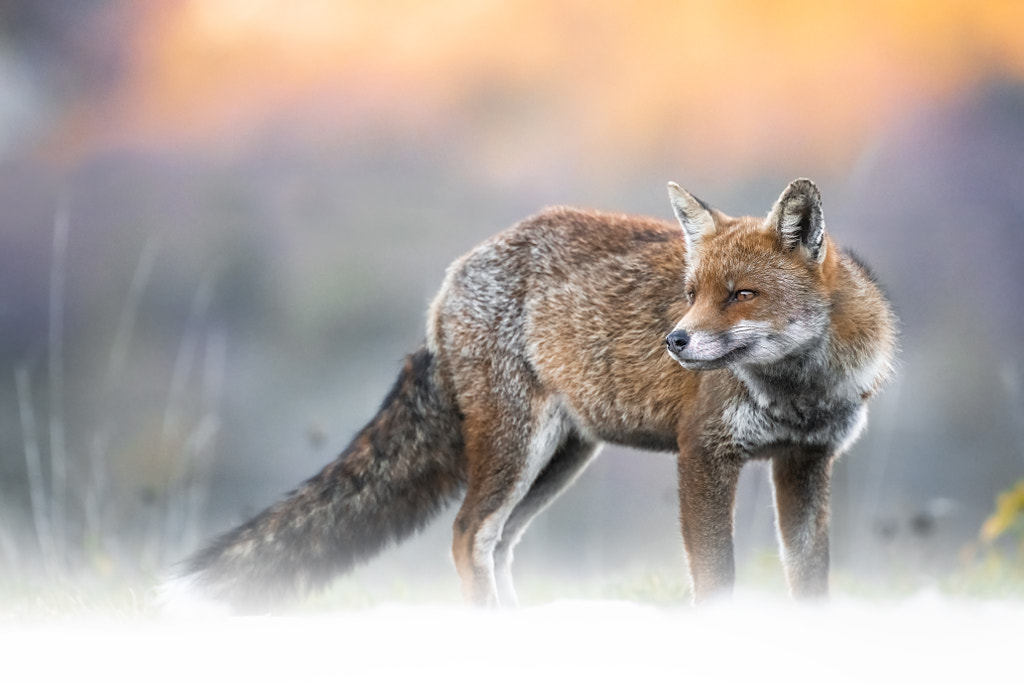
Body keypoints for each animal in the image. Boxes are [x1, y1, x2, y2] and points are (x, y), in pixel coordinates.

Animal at [165, 178, 897, 612]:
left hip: (560, 459)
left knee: (499, 542)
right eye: (692, 293)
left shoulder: (805, 462)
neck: (797, 394)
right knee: (468, 535)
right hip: (518, 448)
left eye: (741, 294)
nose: (675, 341)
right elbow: (716, 580)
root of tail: (456, 273)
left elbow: (811, 580)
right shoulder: (704, 456)